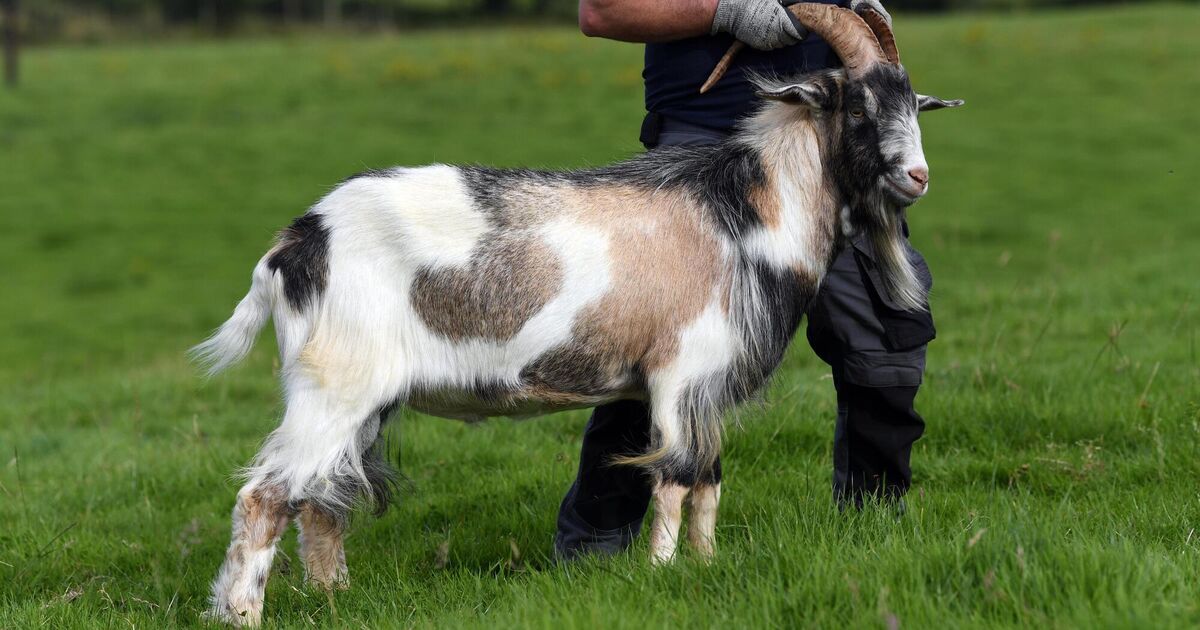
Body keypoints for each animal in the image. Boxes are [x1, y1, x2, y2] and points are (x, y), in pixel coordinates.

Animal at [192, 4, 961, 625]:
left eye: (913, 106)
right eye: (857, 108)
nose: (919, 177)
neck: (744, 212)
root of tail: (297, 243)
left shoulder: (708, 383)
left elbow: (709, 479)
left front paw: (708, 567)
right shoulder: (680, 372)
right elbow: (674, 477)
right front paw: (662, 572)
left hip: (363, 398)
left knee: (323, 500)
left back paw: (335, 600)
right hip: (334, 386)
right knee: (265, 497)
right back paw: (243, 613)